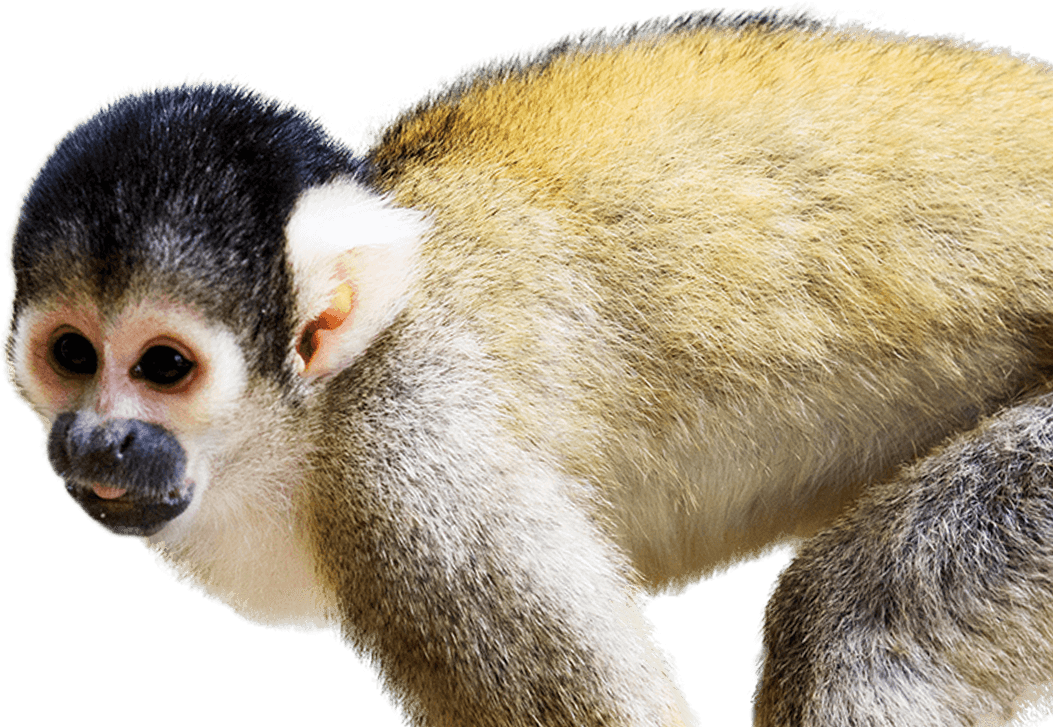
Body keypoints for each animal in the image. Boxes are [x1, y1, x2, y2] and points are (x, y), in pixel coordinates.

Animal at [4, 6, 1052, 726]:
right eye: (71, 355)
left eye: (164, 365)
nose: (97, 440)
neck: (314, 414)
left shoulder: (412, 479)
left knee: (855, 633)